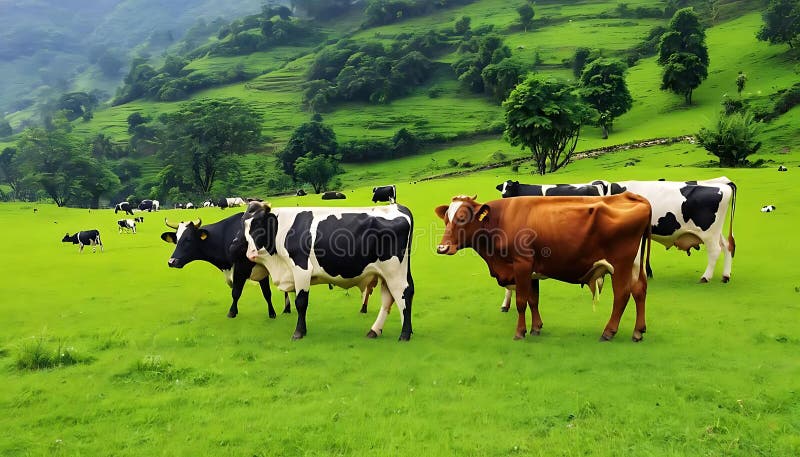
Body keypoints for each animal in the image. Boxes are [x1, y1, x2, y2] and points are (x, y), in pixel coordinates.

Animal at [161, 214, 291, 319]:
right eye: (176, 240)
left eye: (188, 239)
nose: (172, 262)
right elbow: (267, 293)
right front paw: (272, 313)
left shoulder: (242, 268)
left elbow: (237, 292)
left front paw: (232, 313)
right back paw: (287, 309)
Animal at [242, 201, 415, 341]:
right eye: (244, 225)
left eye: (259, 223)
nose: (250, 254)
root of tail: (398, 207)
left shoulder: (301, 268)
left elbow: (301, 302)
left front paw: (299, 332)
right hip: (387, 274)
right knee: (390, 299)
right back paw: (375, 331)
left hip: (394, 272)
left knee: (403, 293)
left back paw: (404, 334)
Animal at [435, 194, 651, 341]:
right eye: (446, 219)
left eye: (463, 217)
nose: (442, 248)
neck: (500, 220)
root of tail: (631, 196)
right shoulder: (531, 271)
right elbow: (533, 300)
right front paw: (536, 327)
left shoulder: (521, 265)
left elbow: (521, 301)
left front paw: (520, 332)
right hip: (635, 264)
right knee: (639, 290)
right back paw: (638, 331)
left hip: (620, 265)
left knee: (622, 295)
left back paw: (608, 332)